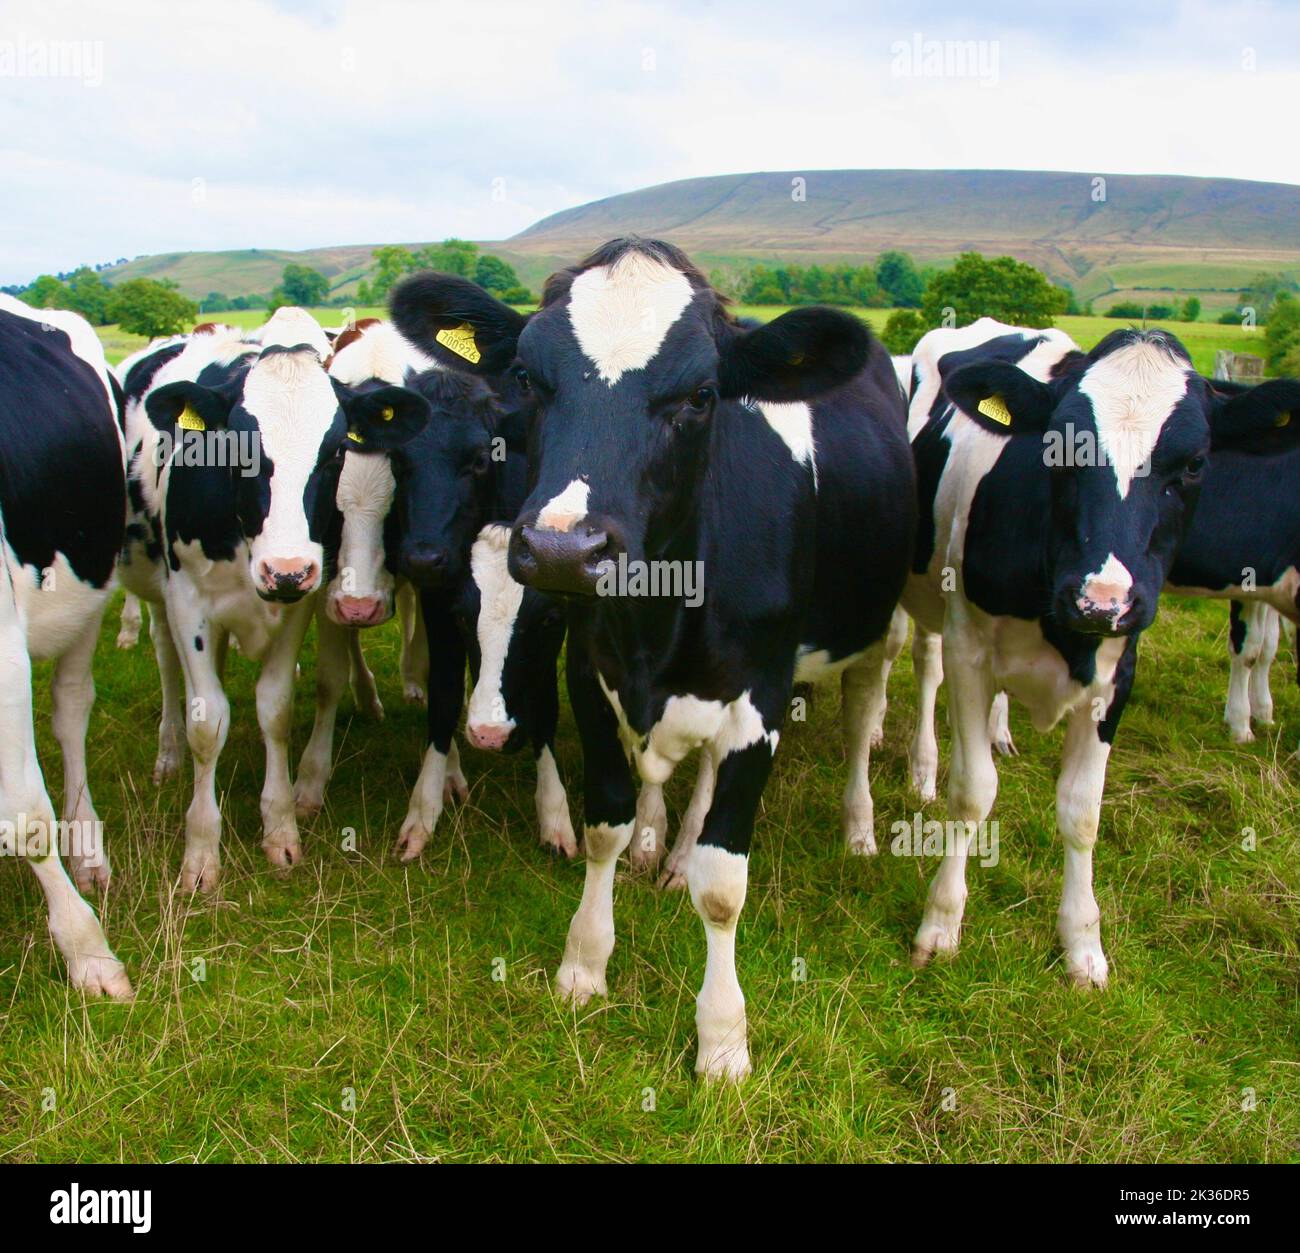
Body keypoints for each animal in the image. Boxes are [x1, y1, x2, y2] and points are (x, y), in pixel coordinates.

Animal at [117, 308, 430, 890]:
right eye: (237, 451)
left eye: (334, 453)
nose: (285, 570)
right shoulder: (188, 601)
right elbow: (206, 722)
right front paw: (201, 850)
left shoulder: (299, 604)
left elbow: (275, 708)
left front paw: (280, 824)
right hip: (155, 588)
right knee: (168, 663)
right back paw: (168, 753)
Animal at [391, 237, 916, 1080]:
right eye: (527, 378)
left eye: (702, 394)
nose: (564, 548)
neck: (659, 618)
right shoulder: (590, 673)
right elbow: (602, 823)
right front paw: (584, 962)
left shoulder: (759, 701)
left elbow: (723, 883)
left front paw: (723, 1038)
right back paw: (656, 839)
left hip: (881, 623)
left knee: (862, 713)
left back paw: (857, 827)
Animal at [901, 316, 1299, 988]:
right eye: (1056, 446)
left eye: (1196, 464)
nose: (1101, 601)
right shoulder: (968, 650)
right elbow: (973, 790)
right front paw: (941, 923)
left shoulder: (1119, 673)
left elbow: (1082, 810)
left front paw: (1083, 945)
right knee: (928, 676)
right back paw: (923, 765)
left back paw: (1002, 733)